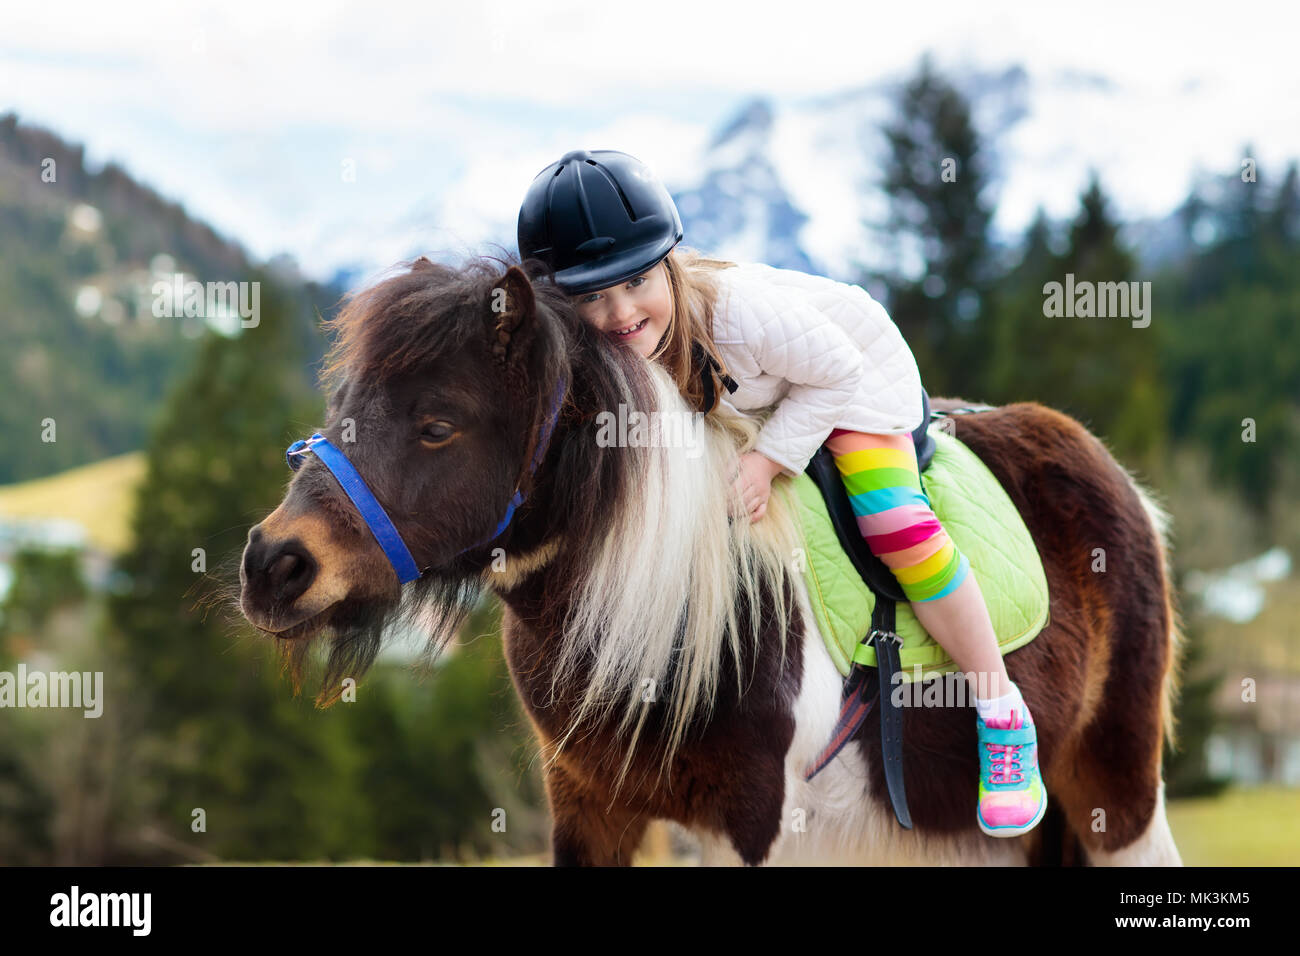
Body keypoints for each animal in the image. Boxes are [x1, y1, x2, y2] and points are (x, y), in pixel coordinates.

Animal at [237, 255, 1185, 867]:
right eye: (345, 400)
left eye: (438, 423)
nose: (272, 565)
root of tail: (1113, 477)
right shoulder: (590, 810)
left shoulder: (752, 821)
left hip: (1115, 797)